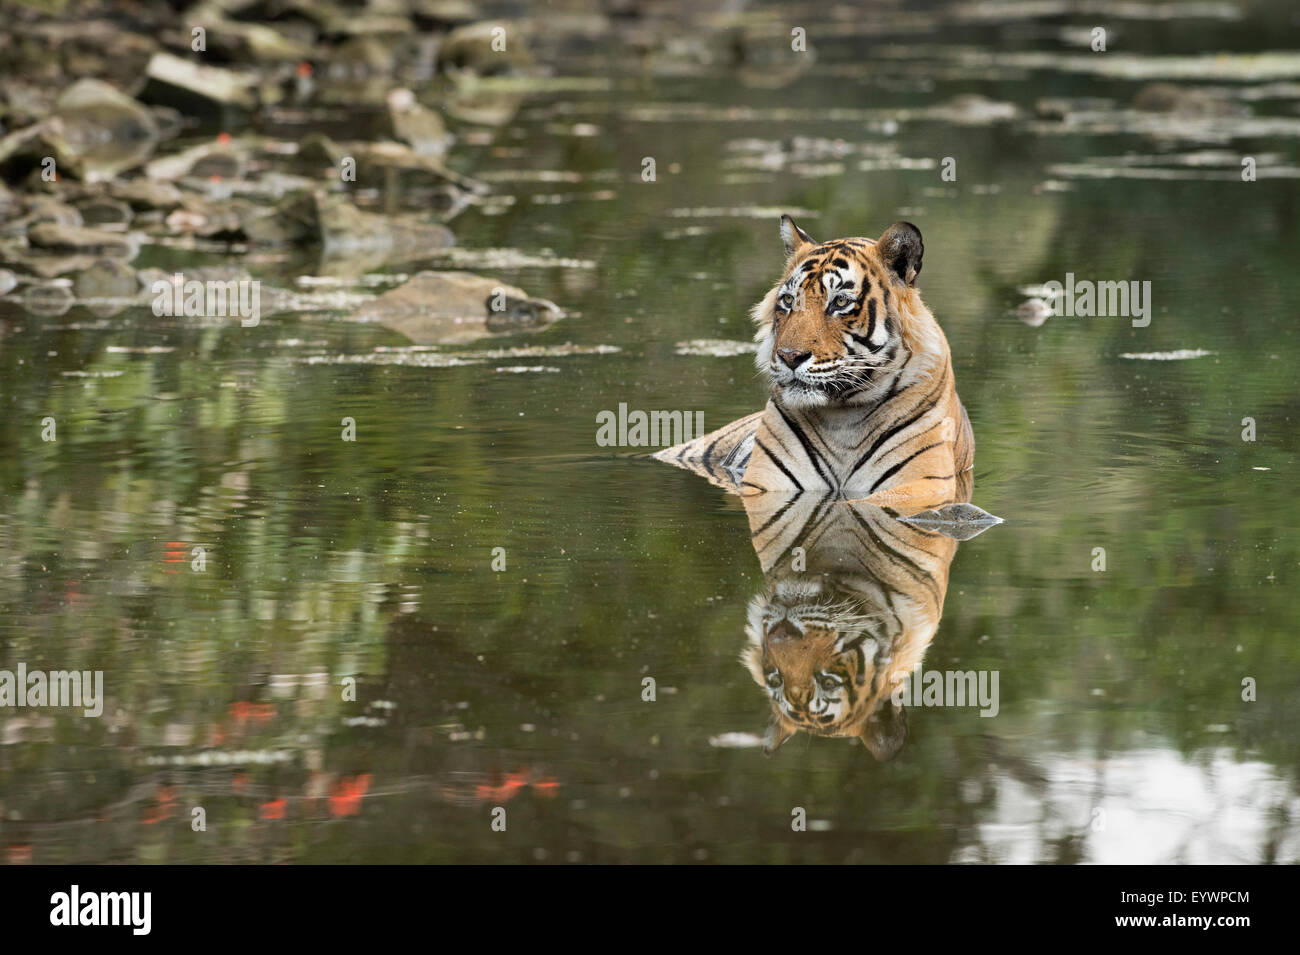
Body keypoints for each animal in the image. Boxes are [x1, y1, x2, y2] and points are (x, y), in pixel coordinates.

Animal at [654, 215, 973, 506]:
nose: (789, 356)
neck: (843, 418)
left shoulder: (922, 483)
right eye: (788, 301)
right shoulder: (765, 483)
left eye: (840, 302)